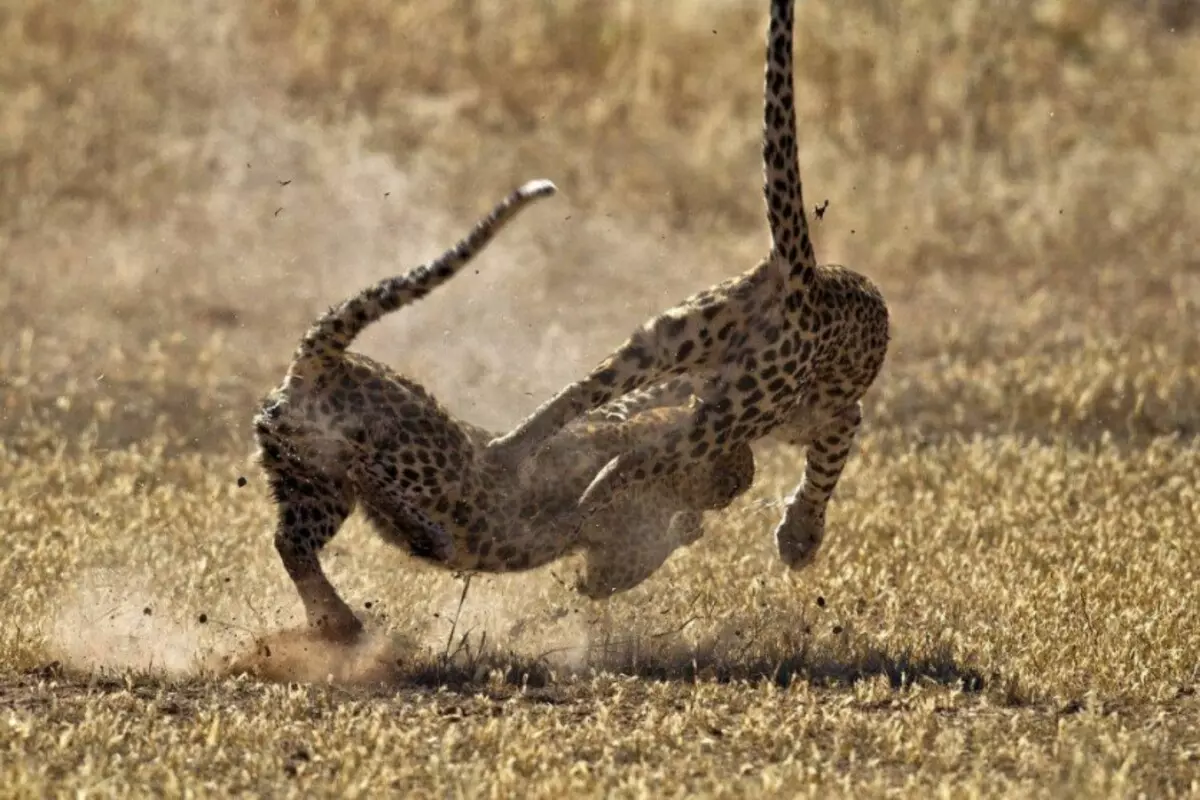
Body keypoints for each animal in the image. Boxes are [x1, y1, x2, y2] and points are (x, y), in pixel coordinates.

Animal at [249, 178, 748, 642]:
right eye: (735, 462)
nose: (743, 484)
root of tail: (330, 364)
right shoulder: (620, 544)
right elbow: (629, 553)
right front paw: (687, 519)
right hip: (419, 459)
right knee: (379, 480)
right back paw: (420, 539)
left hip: (311, 484)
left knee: (291, 544)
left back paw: (339, 619)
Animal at [482, 0, 888, 575]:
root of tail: (803, 279)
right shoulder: (839, 418)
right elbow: (827, 469)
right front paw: (800, 537)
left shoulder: (677, 385)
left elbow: (615, 414)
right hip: (738, 408)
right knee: (640, 458)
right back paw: (587, 503)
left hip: (668, 338)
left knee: (579, 394)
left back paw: (508, 452)